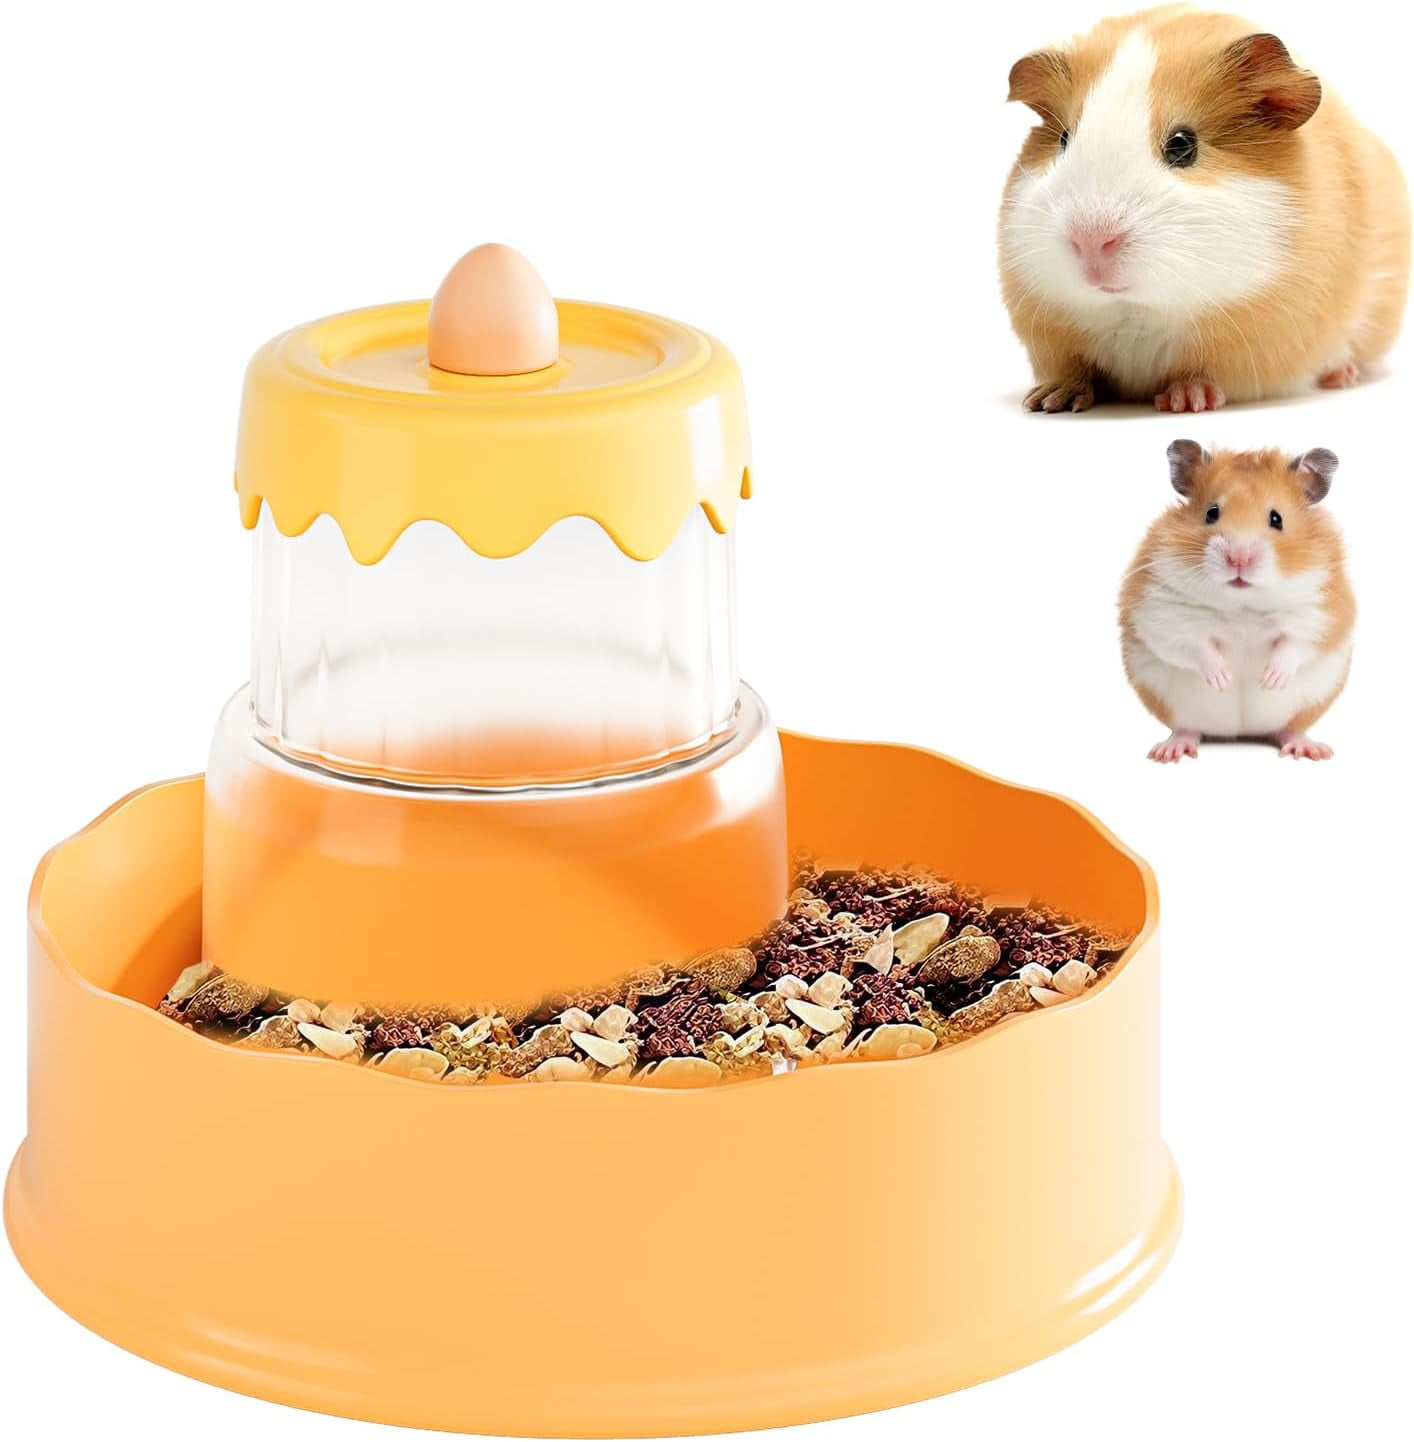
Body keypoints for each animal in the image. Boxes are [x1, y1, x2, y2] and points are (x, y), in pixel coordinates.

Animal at [1000, 6, 1410, 412]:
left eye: (1182, 145)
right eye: (1064, 139)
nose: (1090, 241)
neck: (1135, 310)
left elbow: (1201, 374)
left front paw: (1184, 401)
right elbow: (1075, 370)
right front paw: (1047, 401)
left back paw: (1340, 376)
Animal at [1119, 441, 1354, 761]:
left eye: (1276, 519)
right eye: (1211, 513)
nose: (1239, 559)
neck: (1242, 605)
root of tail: (1242, 732)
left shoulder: (1322, 612)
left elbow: (1296, 644)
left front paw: (1271, 679)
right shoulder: (1160, 610)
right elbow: (1193, 644)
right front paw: (1223, 678)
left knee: (1289, 728)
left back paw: (1309, 749)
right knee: (1187, 728)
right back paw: (1170, 751)